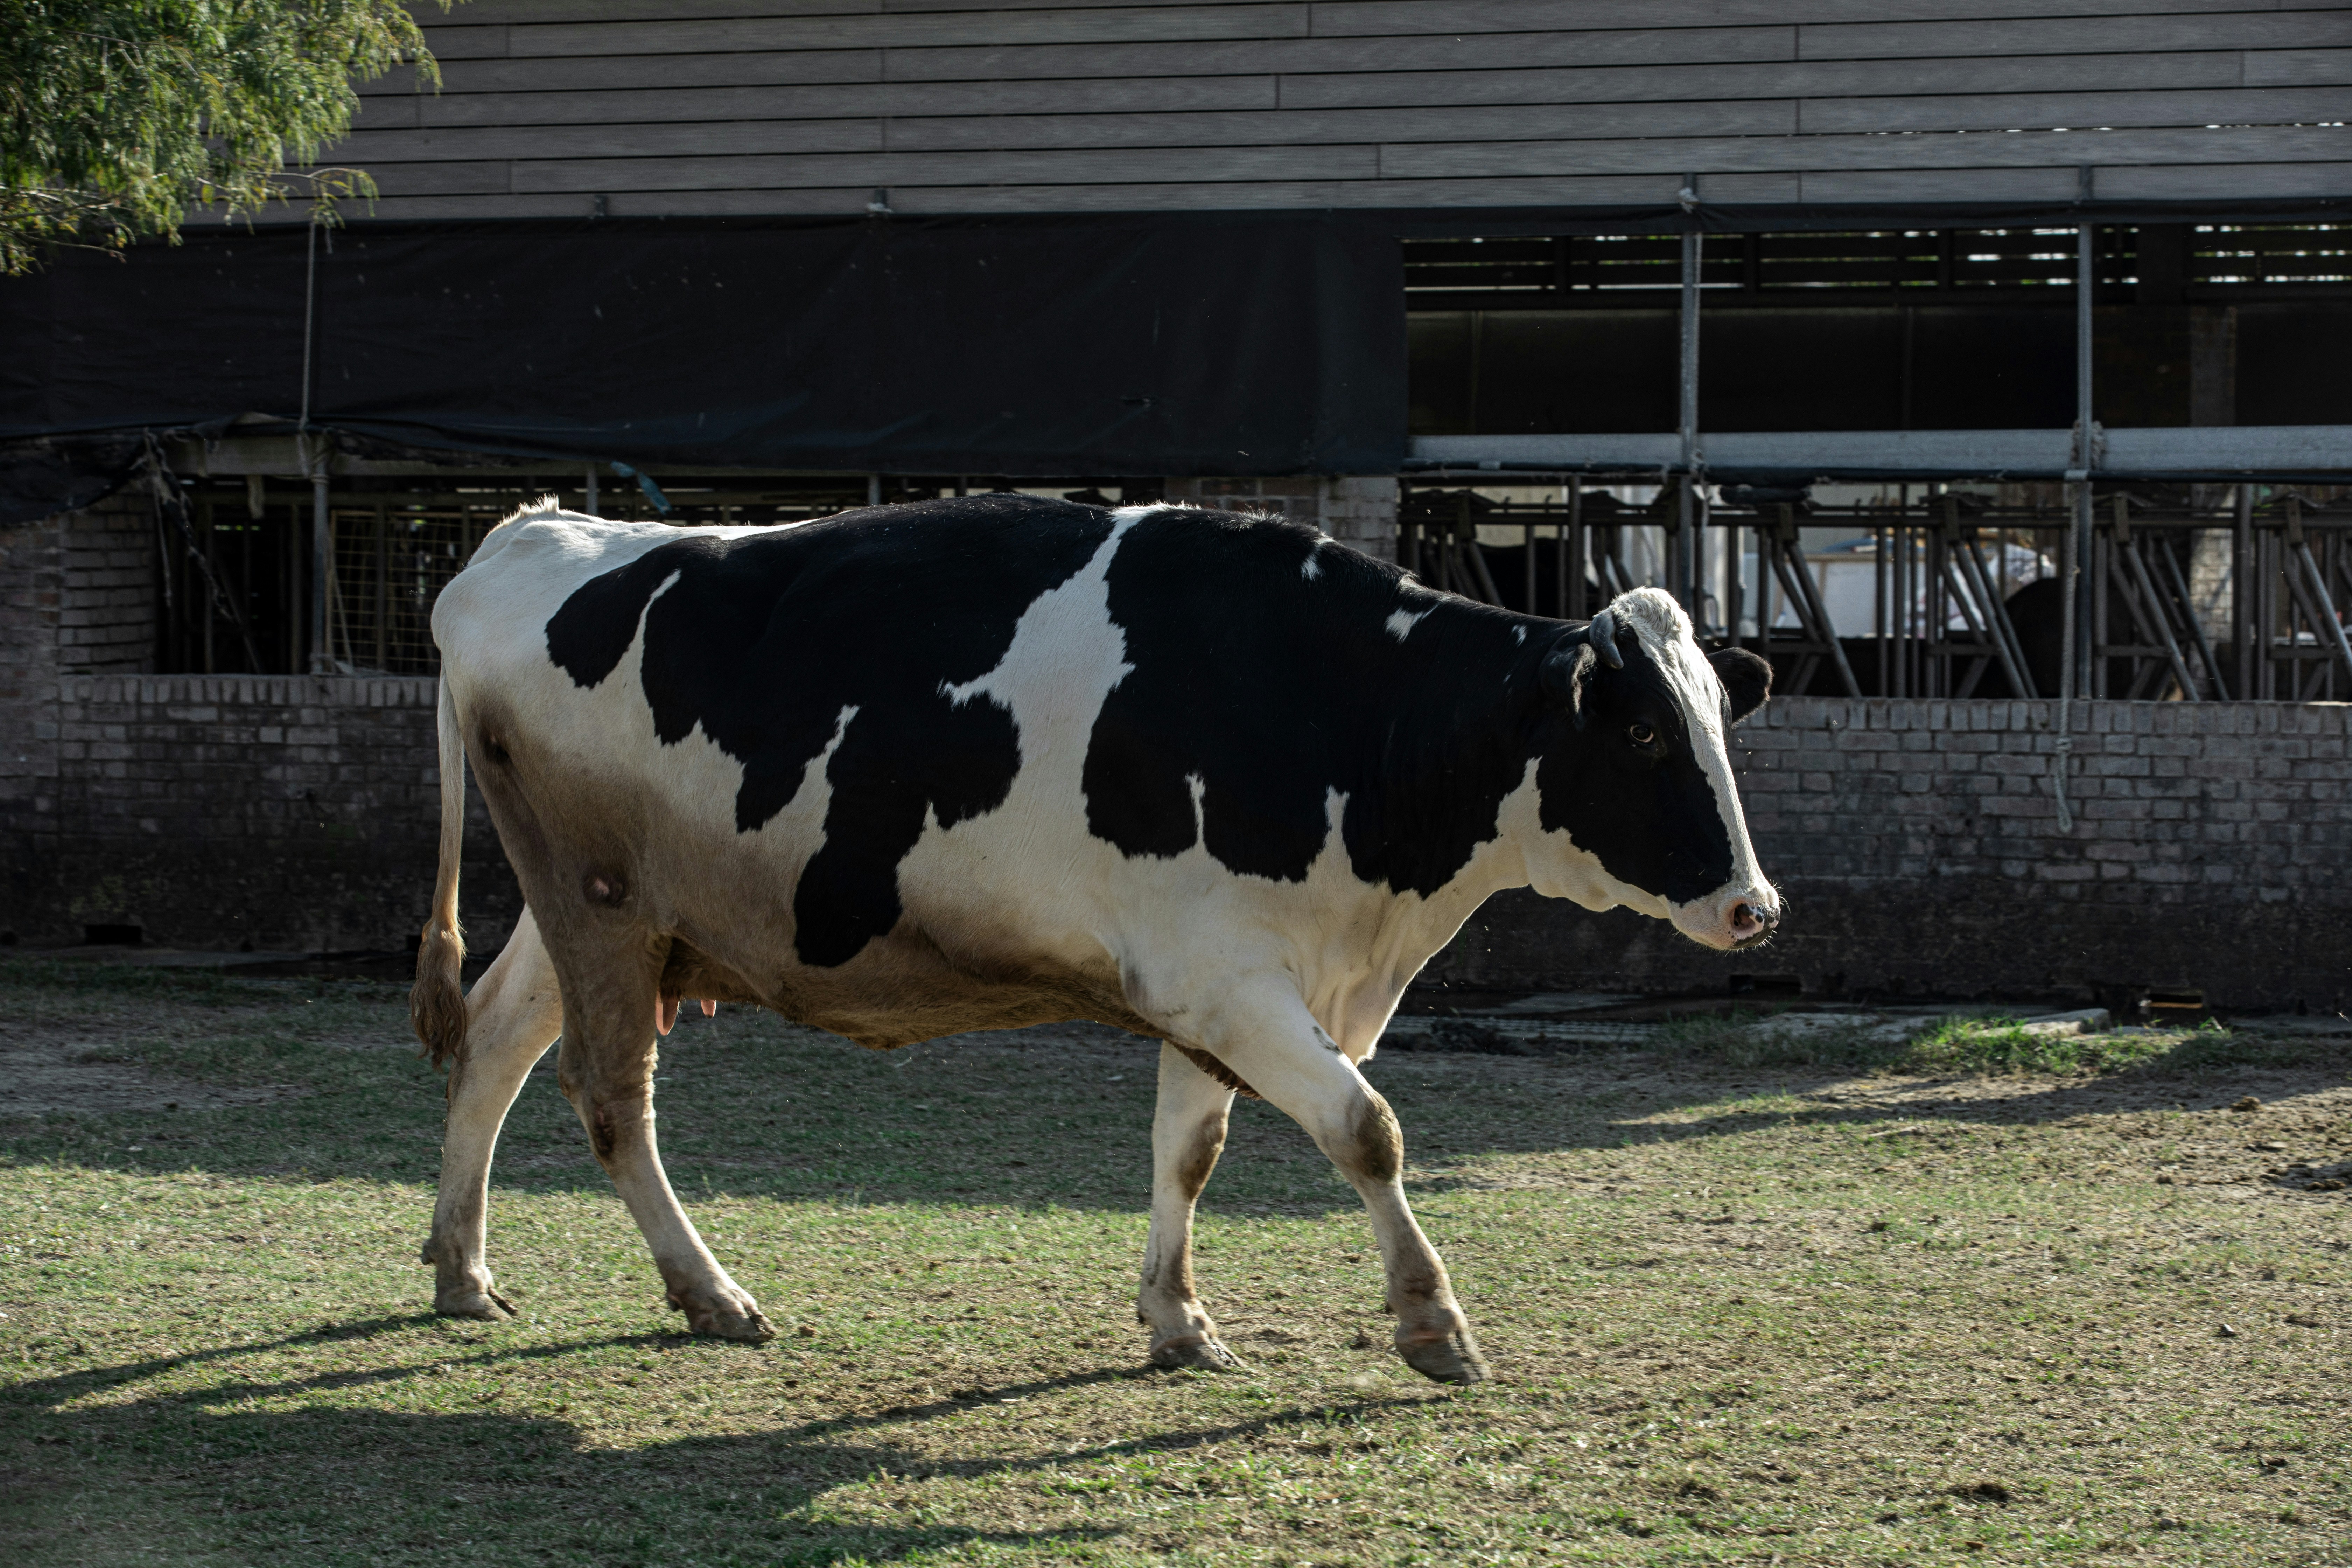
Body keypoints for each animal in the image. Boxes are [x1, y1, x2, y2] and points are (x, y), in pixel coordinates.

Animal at [411, 495, 1778, 1385]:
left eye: (1718, 715)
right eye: (1642, 733)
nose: (1755, 904)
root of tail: (527, 533)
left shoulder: (1217, 981)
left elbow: (1190, 1149)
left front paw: (1177, 1319)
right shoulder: (1231, 980)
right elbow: (1366, 1128)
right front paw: (1431, 1322)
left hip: (600, 909)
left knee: (494, 1041)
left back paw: (462, 1267)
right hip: (602, 905)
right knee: (608, 1096)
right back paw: (707, 1290)